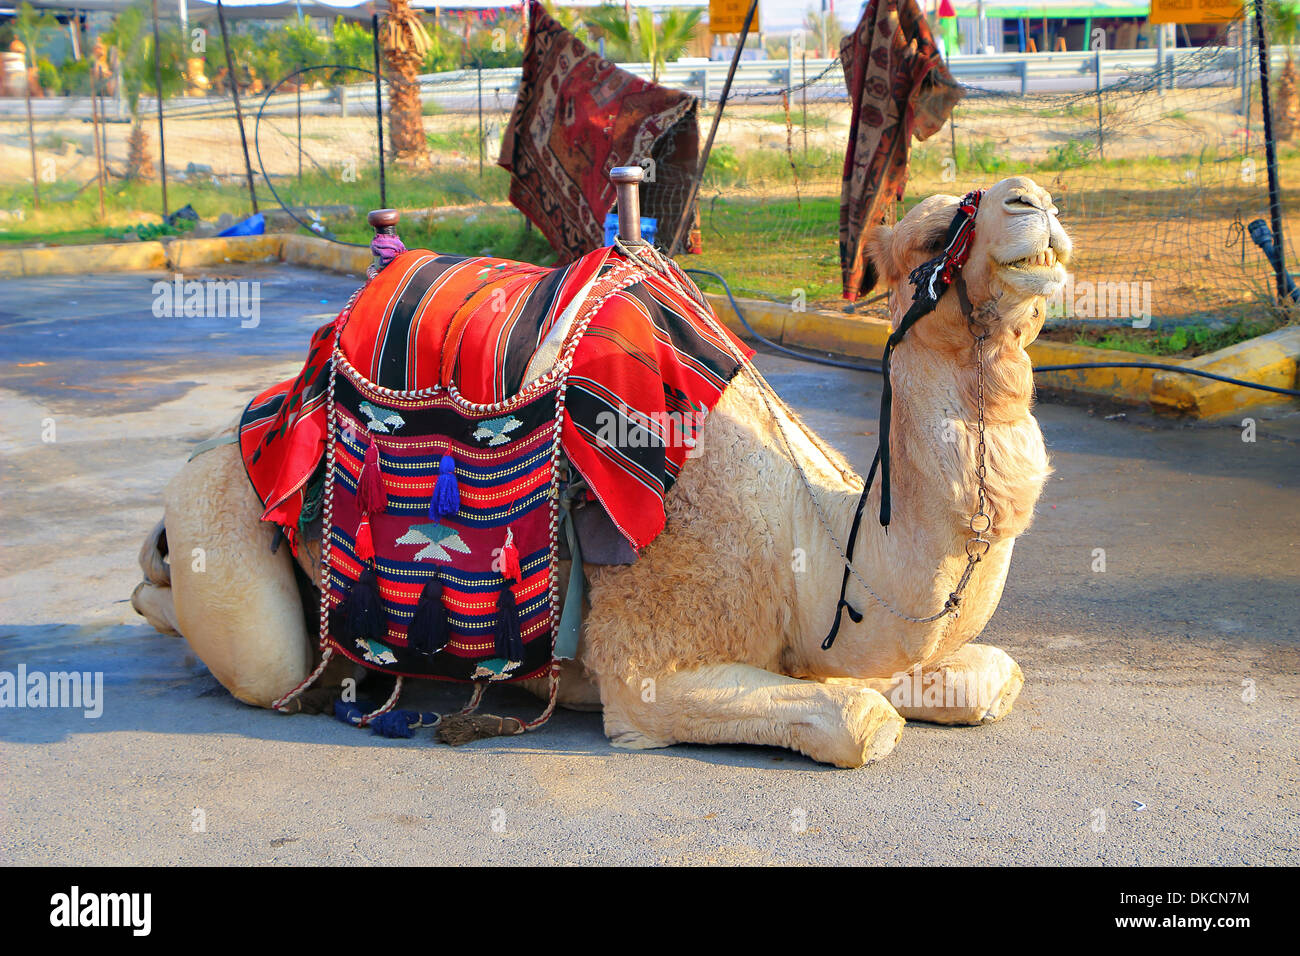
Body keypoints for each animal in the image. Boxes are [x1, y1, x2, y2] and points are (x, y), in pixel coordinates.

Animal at [131, 175, 1069, 768]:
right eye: (929, 240)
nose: (1036, 203)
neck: (815, 542)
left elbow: (991, 676)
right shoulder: (653, 667)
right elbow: (860, 723)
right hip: (224, 524)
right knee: (256, 655)